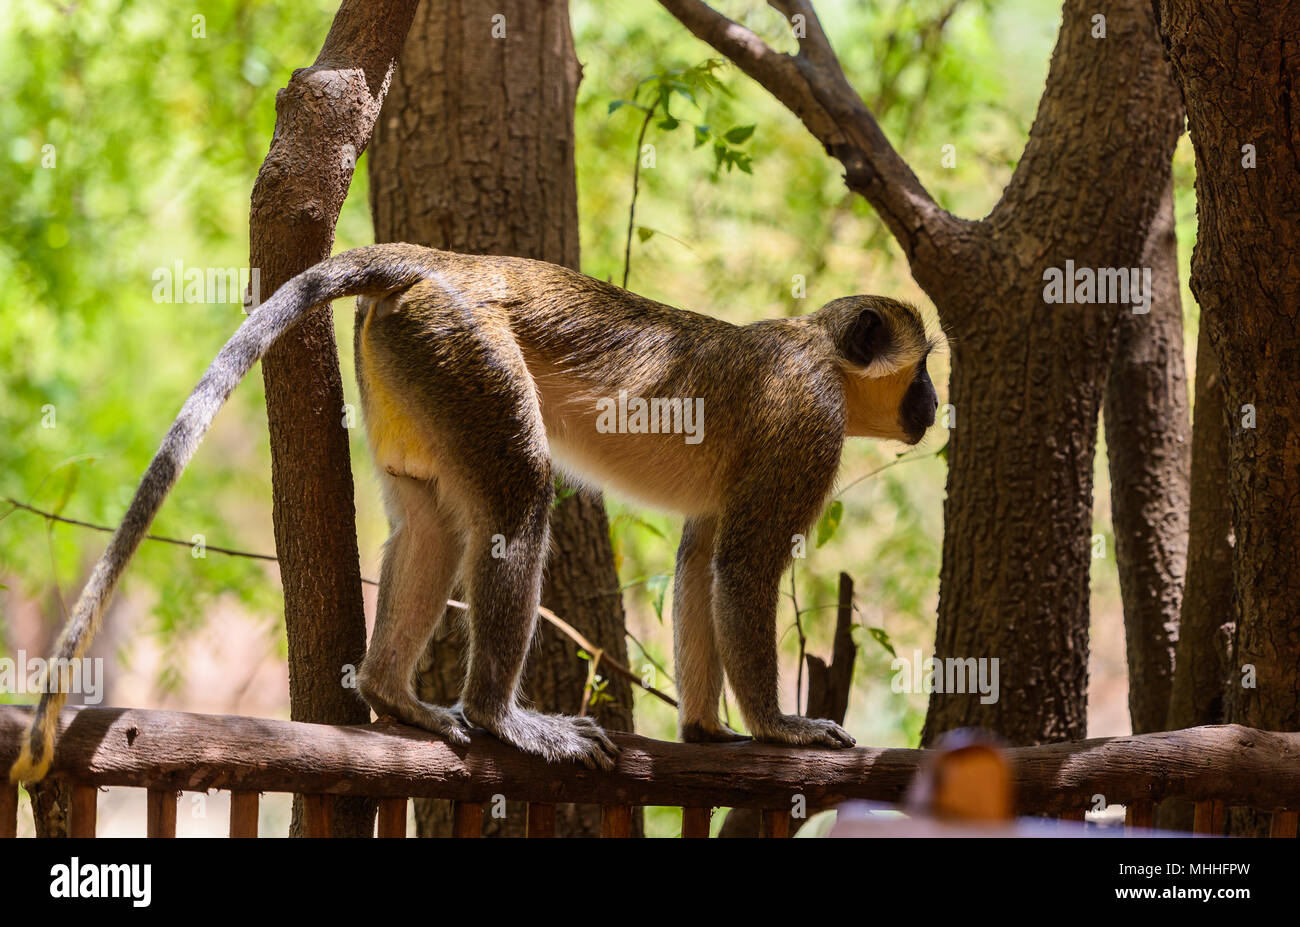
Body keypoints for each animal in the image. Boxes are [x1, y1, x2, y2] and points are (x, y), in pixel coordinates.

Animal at [9, 242, 939, 783]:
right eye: (924, 363)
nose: (936, 404)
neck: (819, 350)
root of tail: (444, 261)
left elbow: (701, 553)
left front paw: (707, 730)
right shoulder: (808, 421)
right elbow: (741, 566)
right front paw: (781, 728)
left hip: (408, 353)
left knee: (432, 519)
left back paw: (394, 693)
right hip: (463, 347)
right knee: (517, 499)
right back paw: (502, 715)